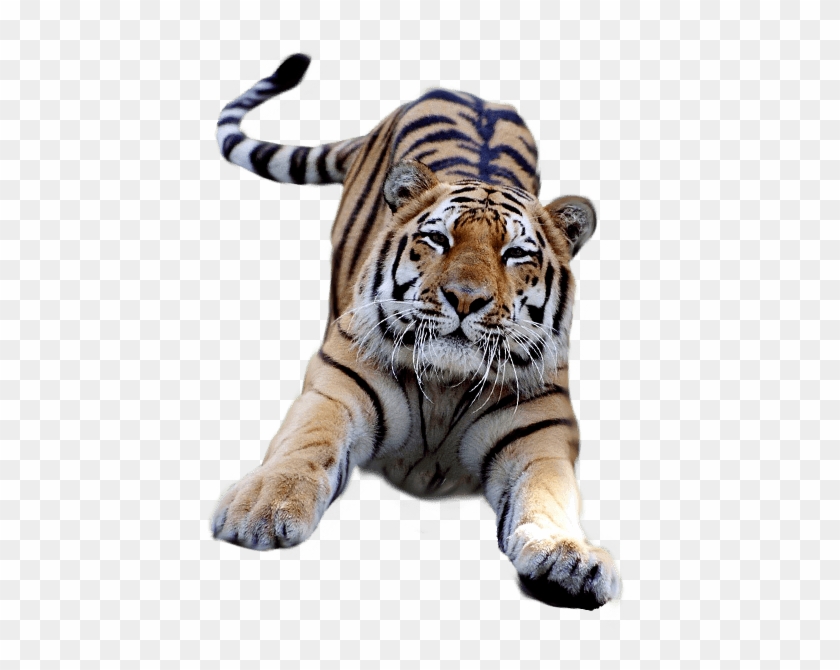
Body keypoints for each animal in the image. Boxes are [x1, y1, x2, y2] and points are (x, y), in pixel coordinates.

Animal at [211, 54, 620, 609]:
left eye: (516, 254)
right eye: (438, 239)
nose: (466, 298)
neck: (445, 385)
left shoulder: (541, 435)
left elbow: (548, 494)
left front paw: (568, 554)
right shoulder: (336, 391)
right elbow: (302, 449)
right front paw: (260, 509)